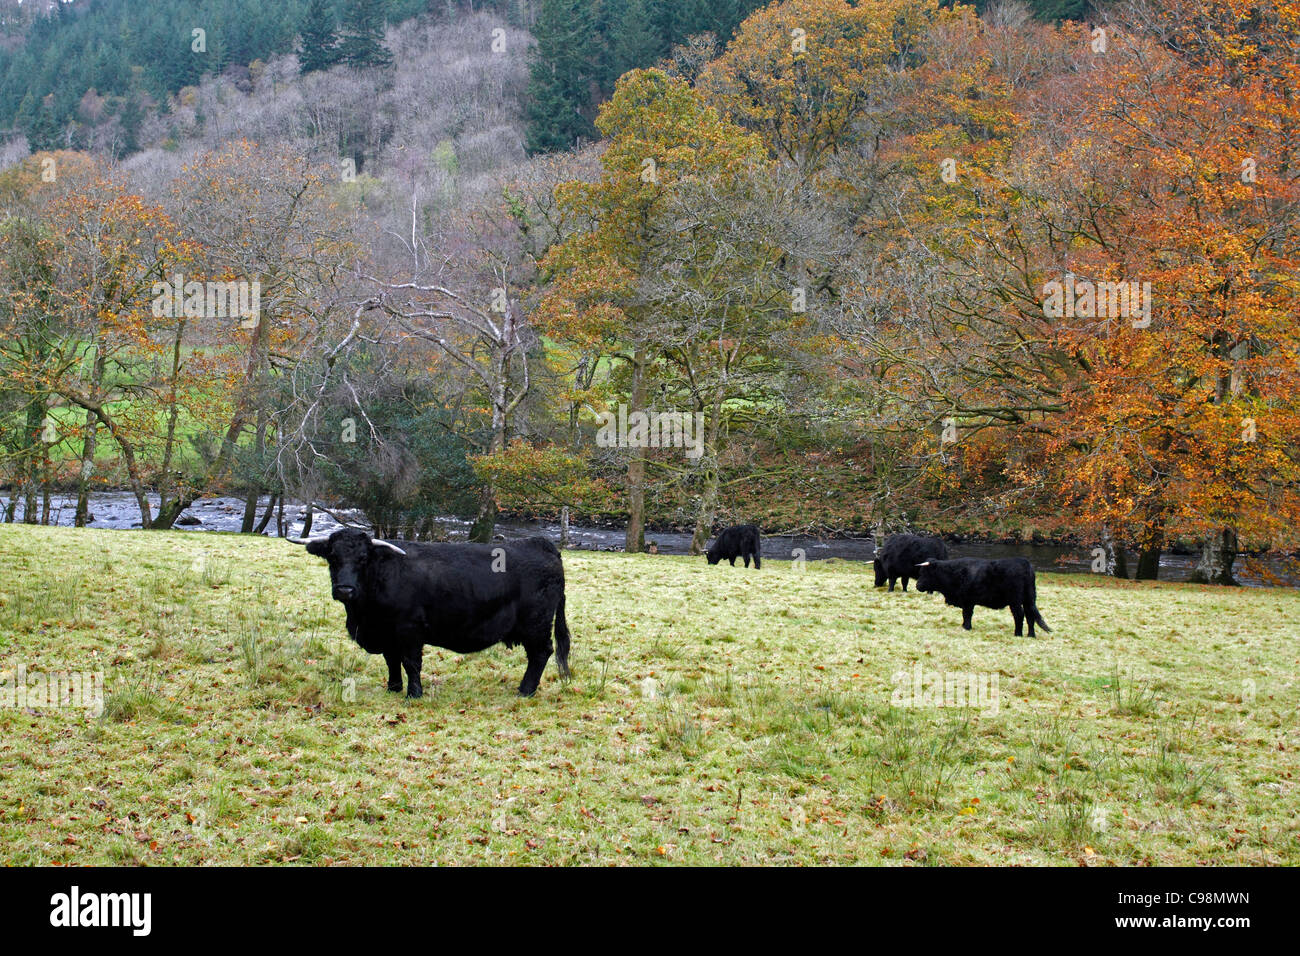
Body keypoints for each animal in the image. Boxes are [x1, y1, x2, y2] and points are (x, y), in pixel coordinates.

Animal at [293, 528, 571, 698]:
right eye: (332, 557)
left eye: (363, 558)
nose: (345, 590)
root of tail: (540, 544)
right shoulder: (388, 633)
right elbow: (392, 661)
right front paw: (393, 688)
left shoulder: (409, 629)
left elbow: (410, 662)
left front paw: (414, 694)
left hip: (536, 624)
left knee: (541, 653)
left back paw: (525, 690)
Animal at [913, 557, 1051, 637]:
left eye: (925, 573)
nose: (917, 585)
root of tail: (1024, 563)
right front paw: (964, 626)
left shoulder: (967, 601)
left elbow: (967, 614)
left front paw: (966, 627)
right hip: (1029, 599)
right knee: (1030, 615)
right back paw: (1031, 635)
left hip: (1015, 601)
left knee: (1020, 615)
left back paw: (1017, 634)